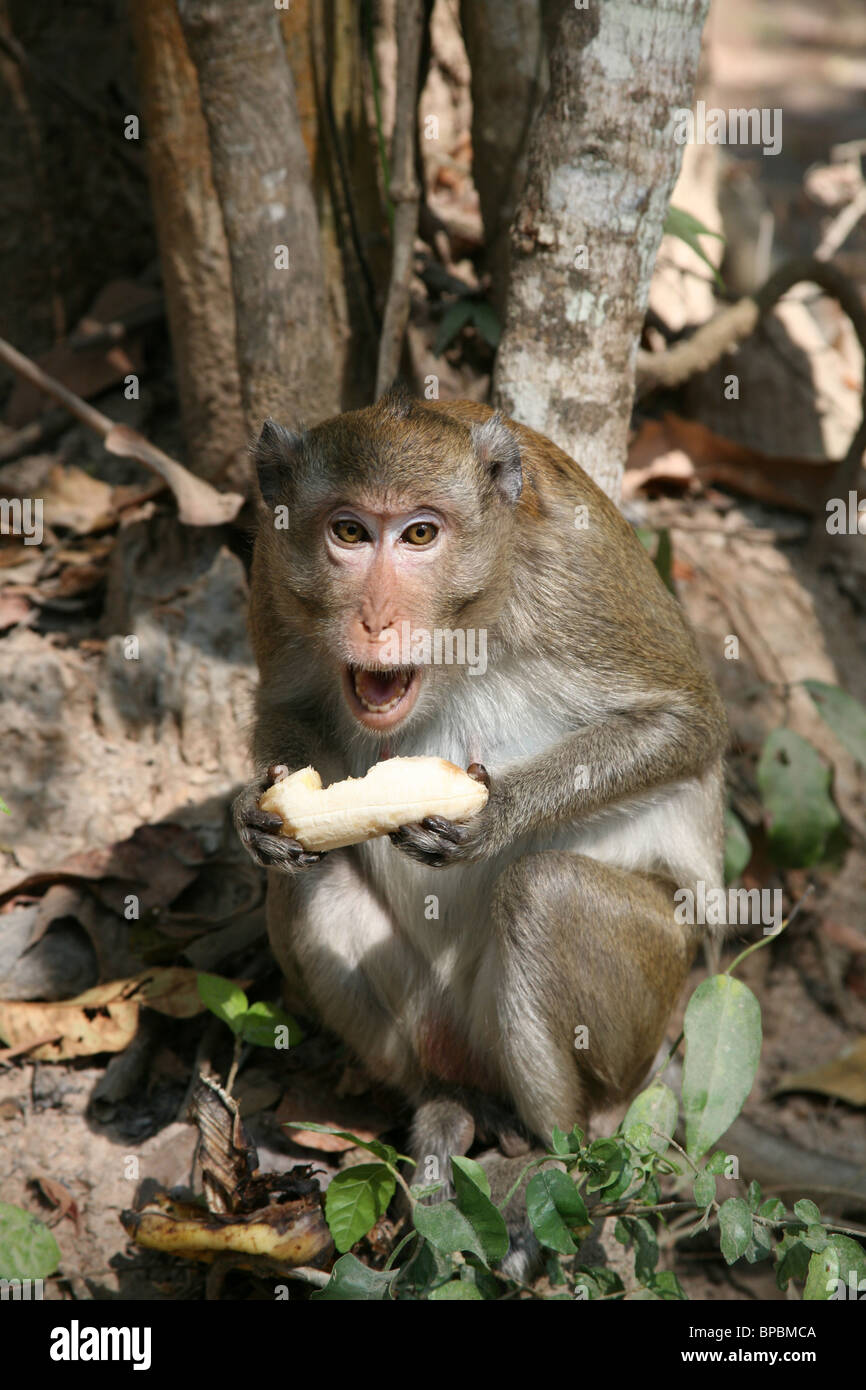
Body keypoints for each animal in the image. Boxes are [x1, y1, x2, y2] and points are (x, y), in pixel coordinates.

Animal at [234, 384, 727, 1276]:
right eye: (349, 532)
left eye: (420, 534)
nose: (374, 619)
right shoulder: (270, 574)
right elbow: (282, 706)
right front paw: (257, 815)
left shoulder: (575, 577)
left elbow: (686, 724)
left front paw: (493, 815)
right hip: (434, 1023)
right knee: (316, 881)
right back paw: (449, 1109)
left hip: (652, 1001)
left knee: (544, 892)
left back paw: (555, 1154)